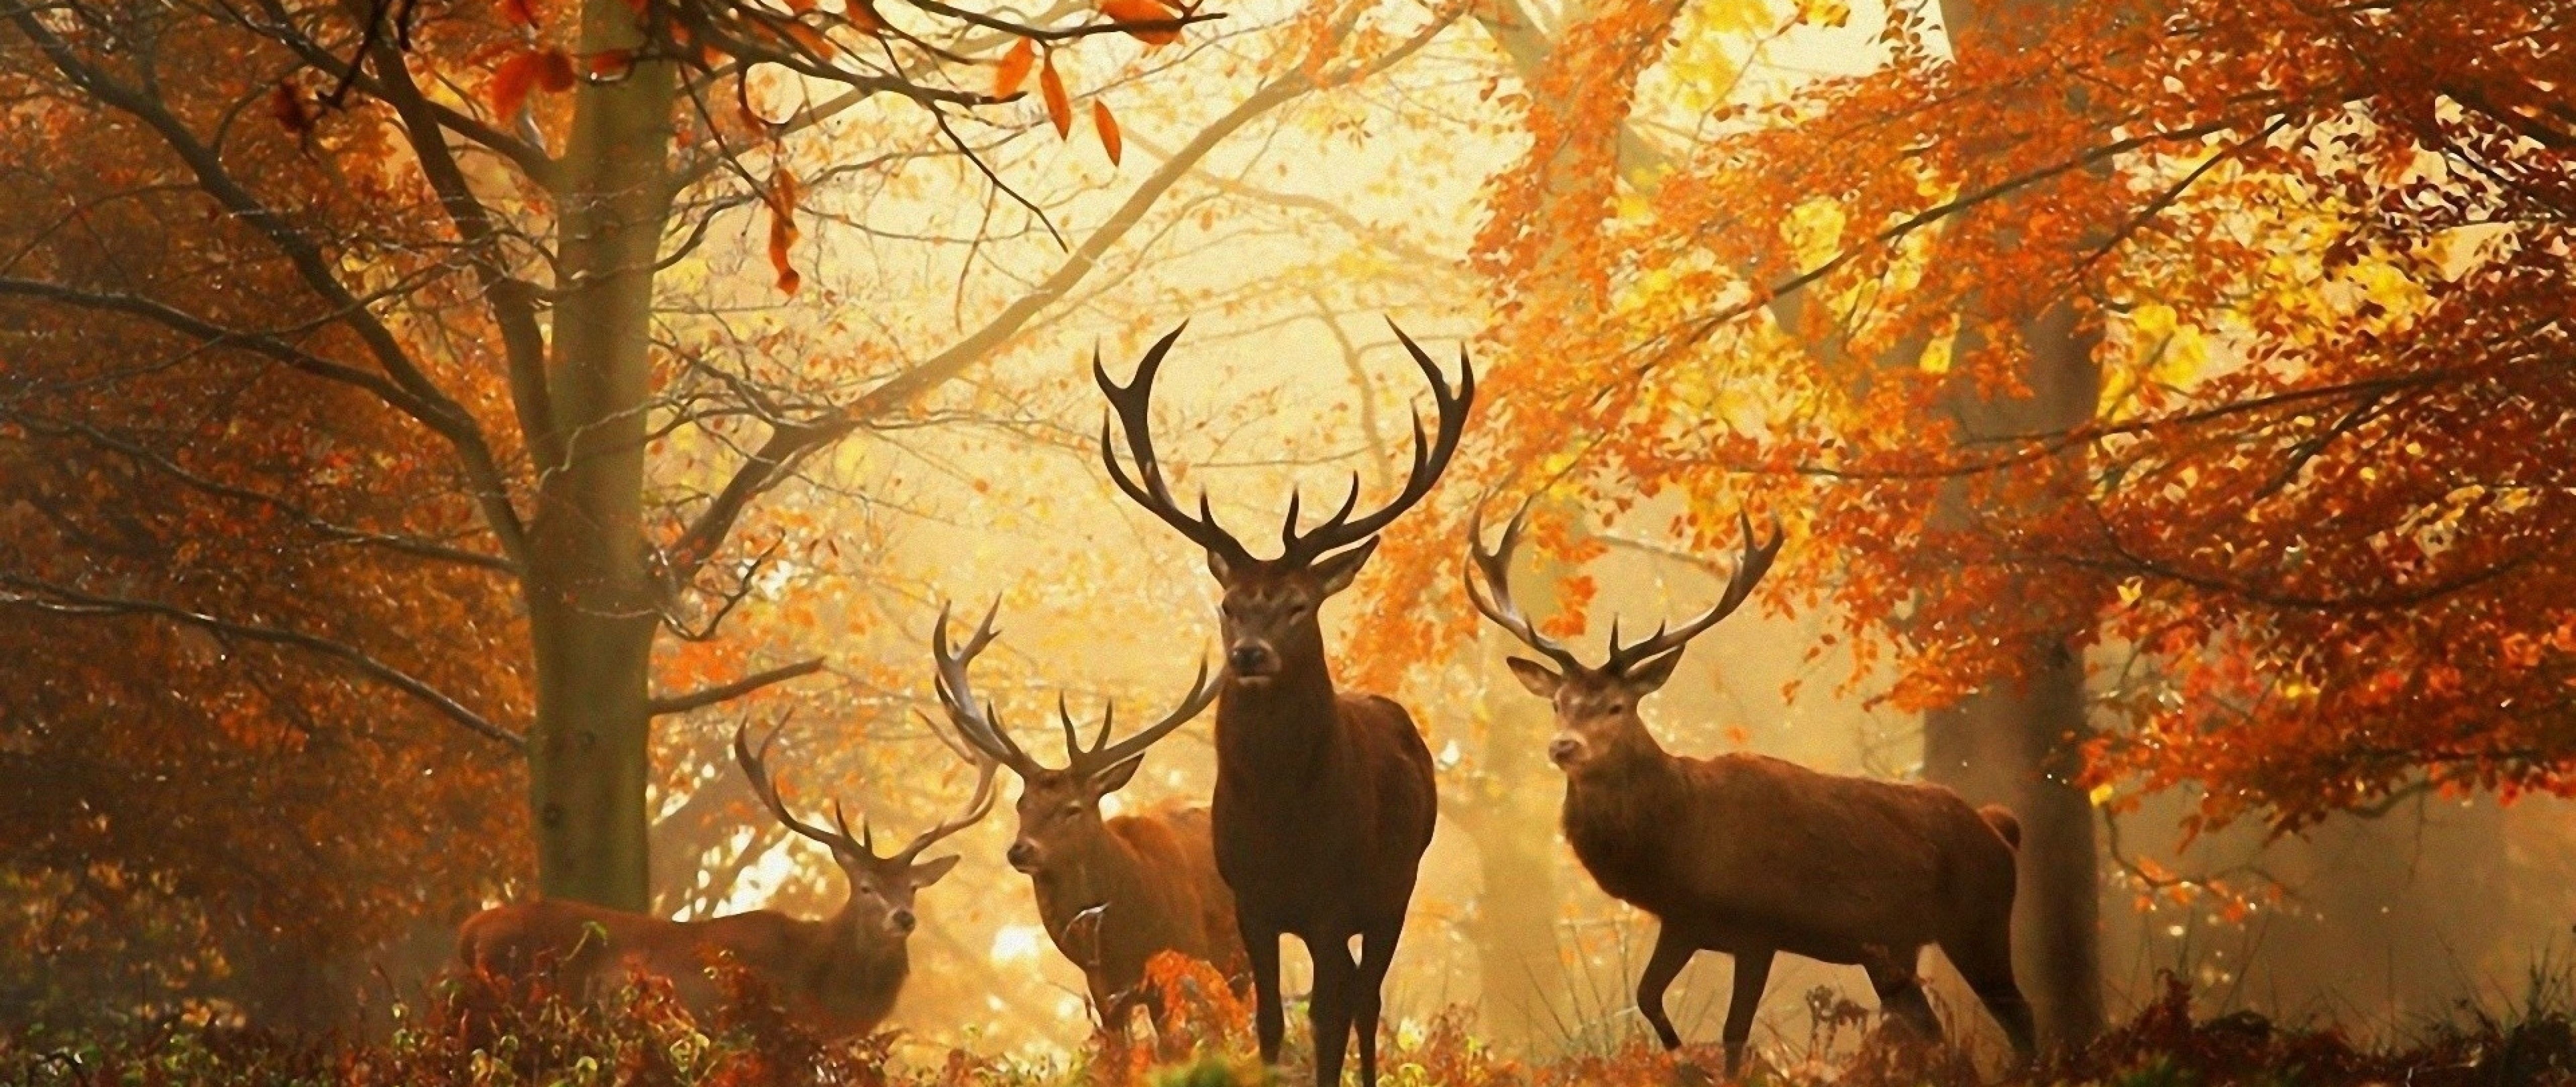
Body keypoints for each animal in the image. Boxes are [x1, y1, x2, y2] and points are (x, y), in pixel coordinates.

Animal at [1094, 322, 1470, 1087]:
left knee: (1364, 998)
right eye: (1229, 604)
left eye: (1299, 604)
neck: (1283, 822)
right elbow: (1268, 1020)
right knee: (1354, 992)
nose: (1249, 655)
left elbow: (1325, 1017)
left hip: (1396, 887)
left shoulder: (1333, 899)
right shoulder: (1251, 902)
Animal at [1465, 507, 2038, 1076]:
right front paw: (1684, 1066)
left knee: (2021, 1018)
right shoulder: (1683, 921)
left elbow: (1734, 1034)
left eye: (1615, 706)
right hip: (1892, 950)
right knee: (1936, 1034)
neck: (1679, 843)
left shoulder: (1759, 928)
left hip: (1979, 920)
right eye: (1557, 703)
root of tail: (1999, 828)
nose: (1563, 745)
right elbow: (1648, 997)